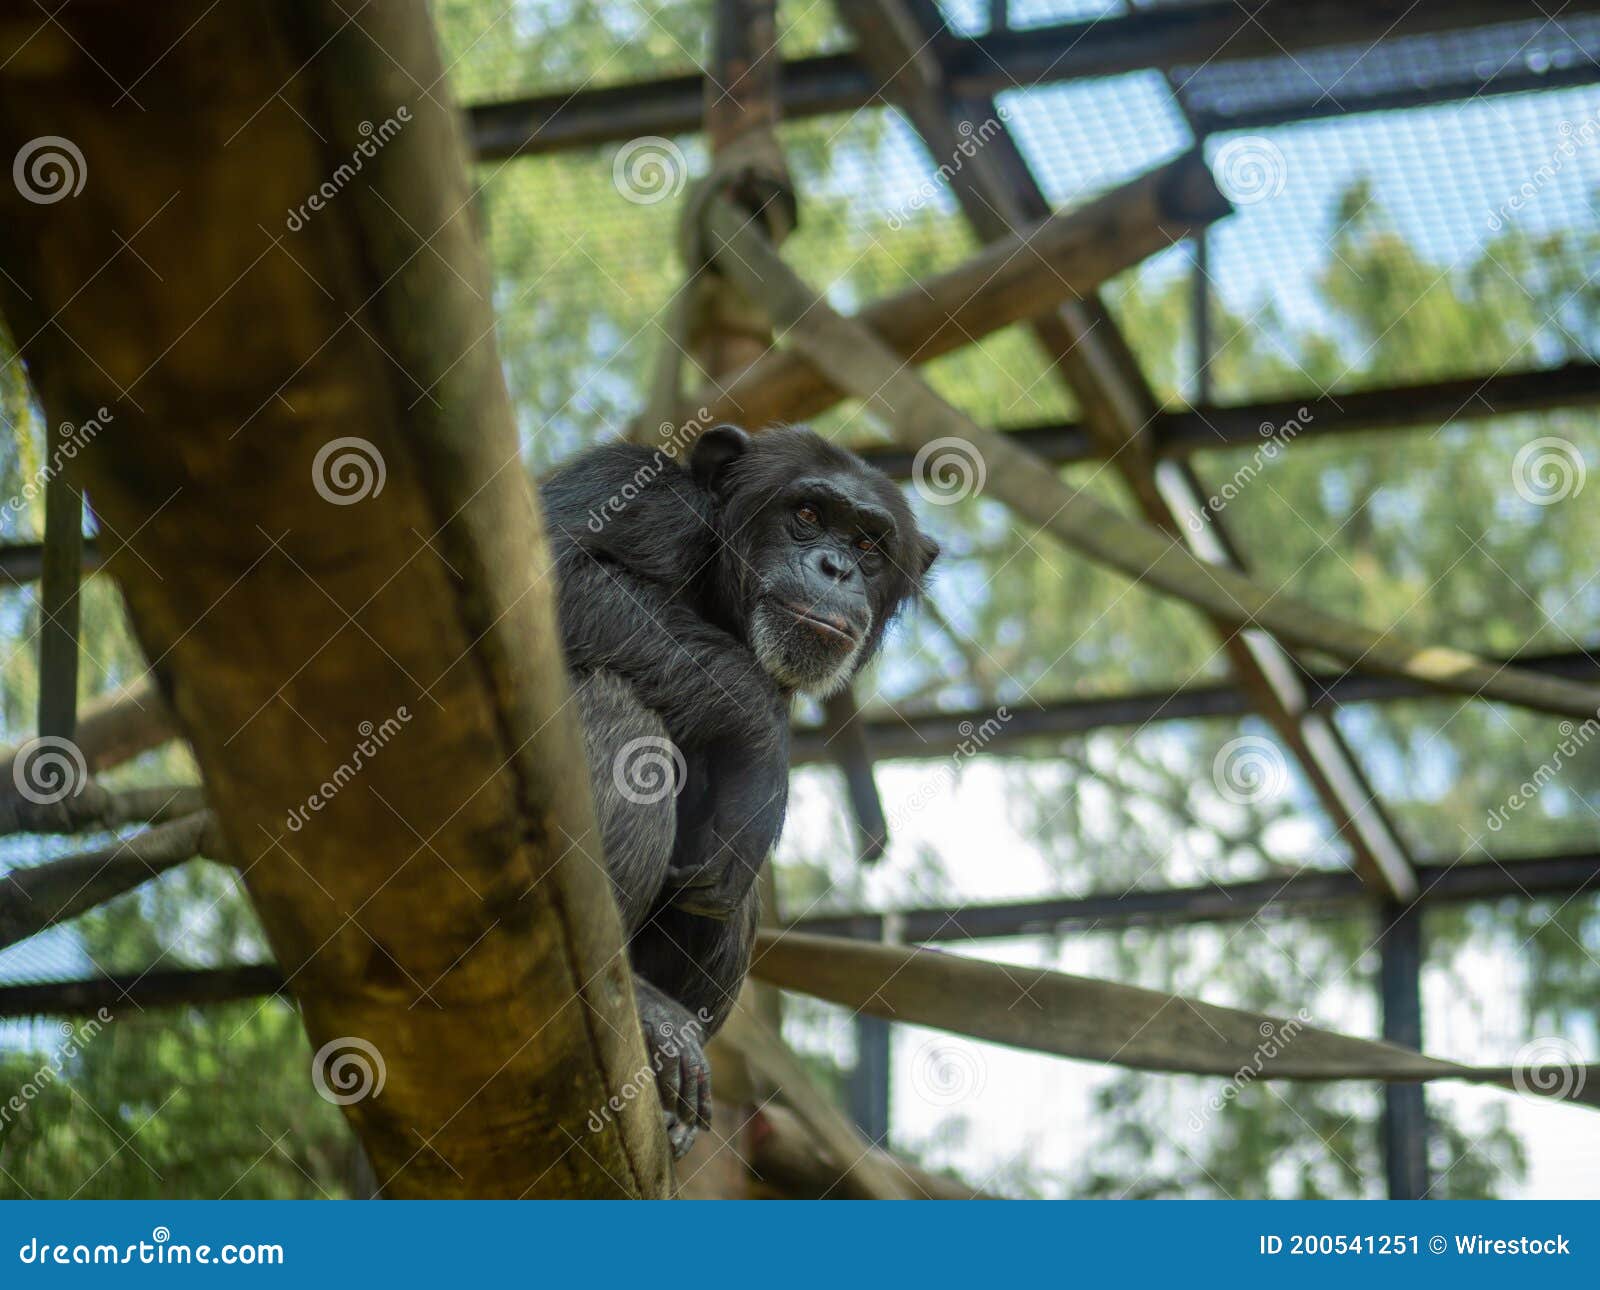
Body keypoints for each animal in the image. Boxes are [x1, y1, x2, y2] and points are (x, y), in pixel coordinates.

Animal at [540, 423, 938, 1157]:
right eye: (806, 514)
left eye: (869, 544)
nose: (836, 568)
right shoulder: (629, 490)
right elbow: (551, 575)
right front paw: (761, 729)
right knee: (619, 711)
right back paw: (642, 1009)